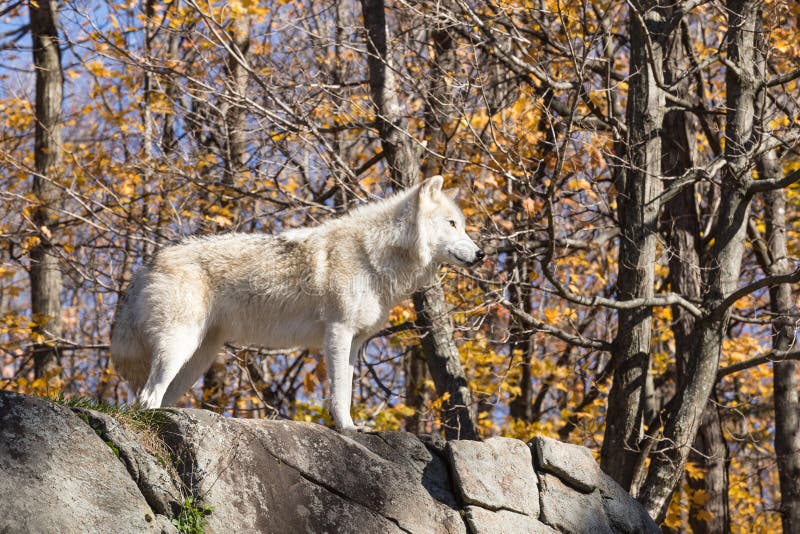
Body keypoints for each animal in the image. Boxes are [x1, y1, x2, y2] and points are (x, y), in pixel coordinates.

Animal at [110, 176, 484, 430]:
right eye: (452, 224)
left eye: (462, 225)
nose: (481, 254)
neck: (374, 254)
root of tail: (149, 263)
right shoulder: (337, 332)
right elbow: (339, 392)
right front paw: (347, 429)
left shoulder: (354, 342)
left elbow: (346, 389)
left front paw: (352, 426)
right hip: (179, 346)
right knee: (146, 397)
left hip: (197, 360)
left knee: (154, 397)